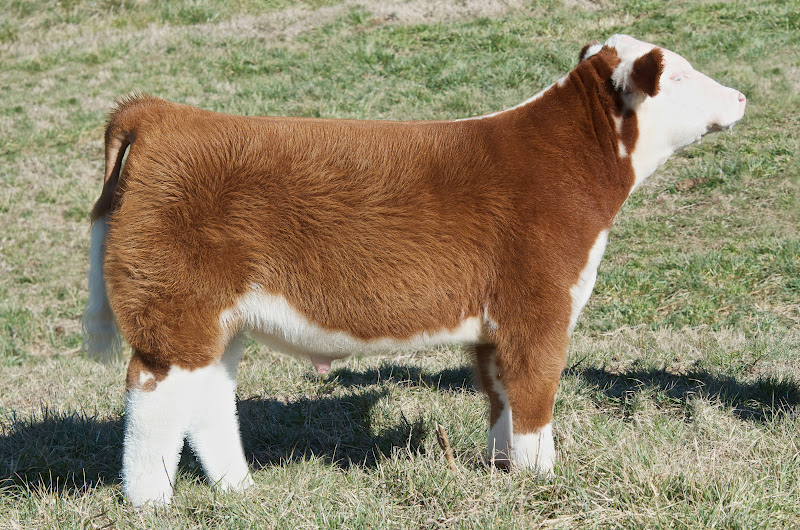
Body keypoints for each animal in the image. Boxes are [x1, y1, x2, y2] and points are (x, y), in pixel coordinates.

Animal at [82, 34, 746, 506]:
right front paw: (542, 481)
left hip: (221, 320)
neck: (570, 166)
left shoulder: (493, 326)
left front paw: (503, 470)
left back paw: (239, 489)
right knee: (153, 398)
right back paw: (151, 503)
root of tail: (162, 114)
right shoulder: (539, 307)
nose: (740, 96)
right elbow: (535, 398)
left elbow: (500, 399)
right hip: (175, 306)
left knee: (209, 397)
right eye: (679, 75)